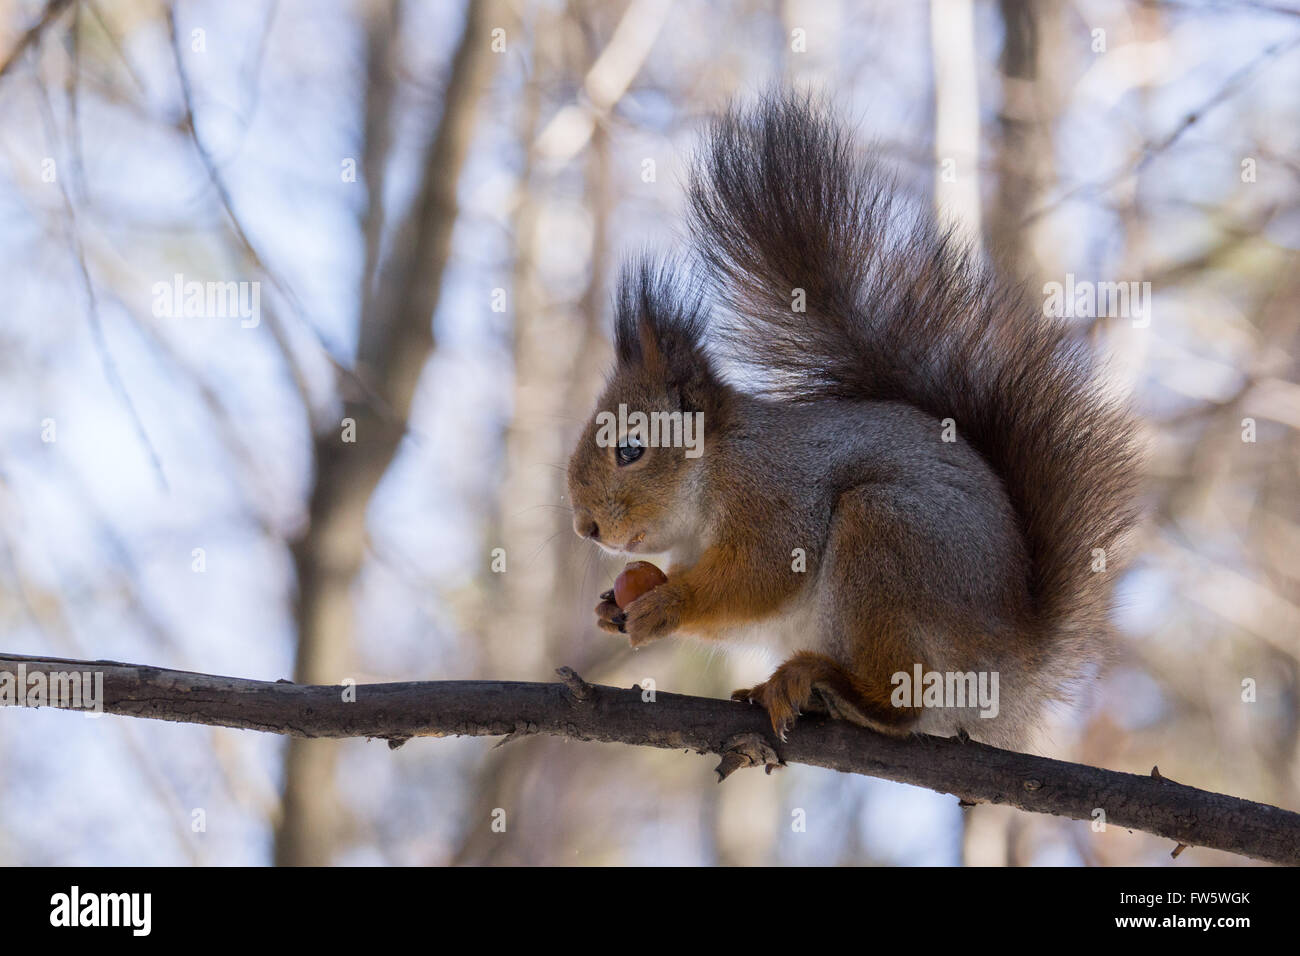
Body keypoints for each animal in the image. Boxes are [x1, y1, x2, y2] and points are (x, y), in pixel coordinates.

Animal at [565, 93, 1140, 749]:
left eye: (631, 448)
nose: (584, 527)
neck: (714, 468)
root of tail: (1014, 670)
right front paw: (612, 605)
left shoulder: (775, 491)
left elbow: (765, 572)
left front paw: (668, 604)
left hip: (889, 537)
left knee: (903, 701)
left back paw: (834, 690)